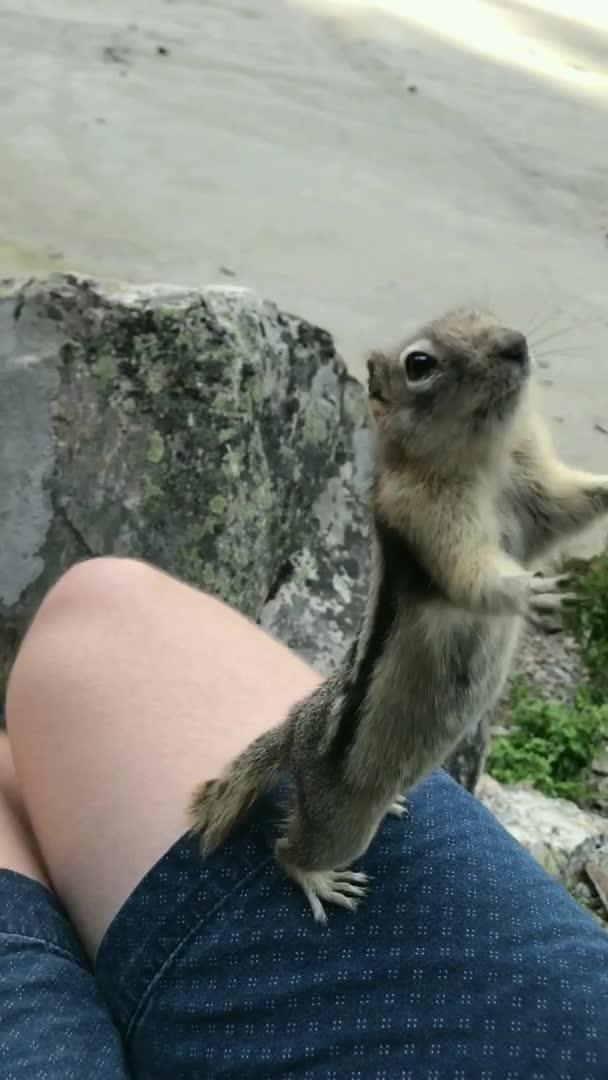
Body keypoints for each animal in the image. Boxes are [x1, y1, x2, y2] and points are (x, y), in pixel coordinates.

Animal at [189, 307, 608, 923]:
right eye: (420, 363)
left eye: (485, 315)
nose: (517, 344)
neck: (484, 462)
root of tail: (294, 731)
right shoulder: (427, 518)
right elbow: (473, 576)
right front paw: (536, 592)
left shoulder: (533, 496)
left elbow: (568, 505)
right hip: (342, 818)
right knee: (288, 849)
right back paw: (319, 880)